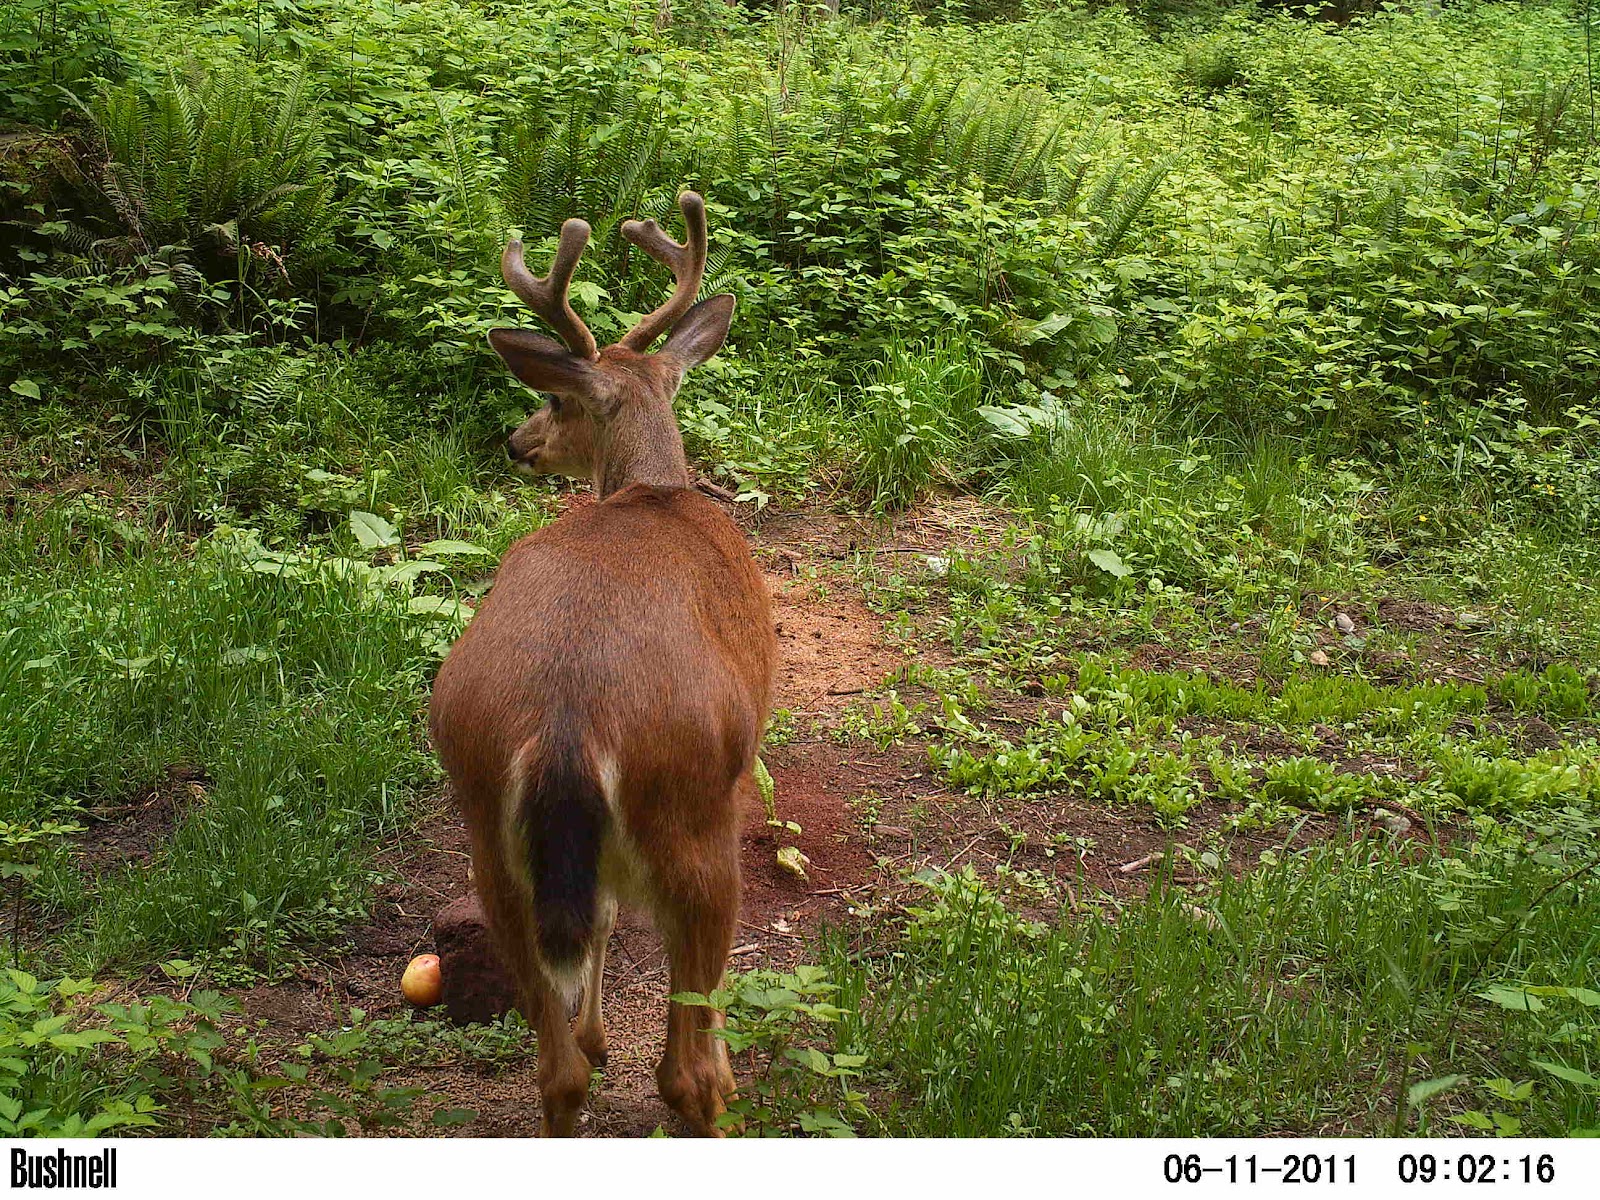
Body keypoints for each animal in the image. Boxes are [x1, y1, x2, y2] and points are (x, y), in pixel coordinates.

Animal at [427, 192, 775, 1138]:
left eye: (552, 399)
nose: (519, 442)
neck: (652, 490)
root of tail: (564, 731)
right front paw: (724, 1065)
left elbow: (603, 922)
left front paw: (597, 1034)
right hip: (695, 827)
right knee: (680, 1074)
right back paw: (719, 1096)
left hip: (491, 844)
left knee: (556, 1072)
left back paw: (580, 1055)